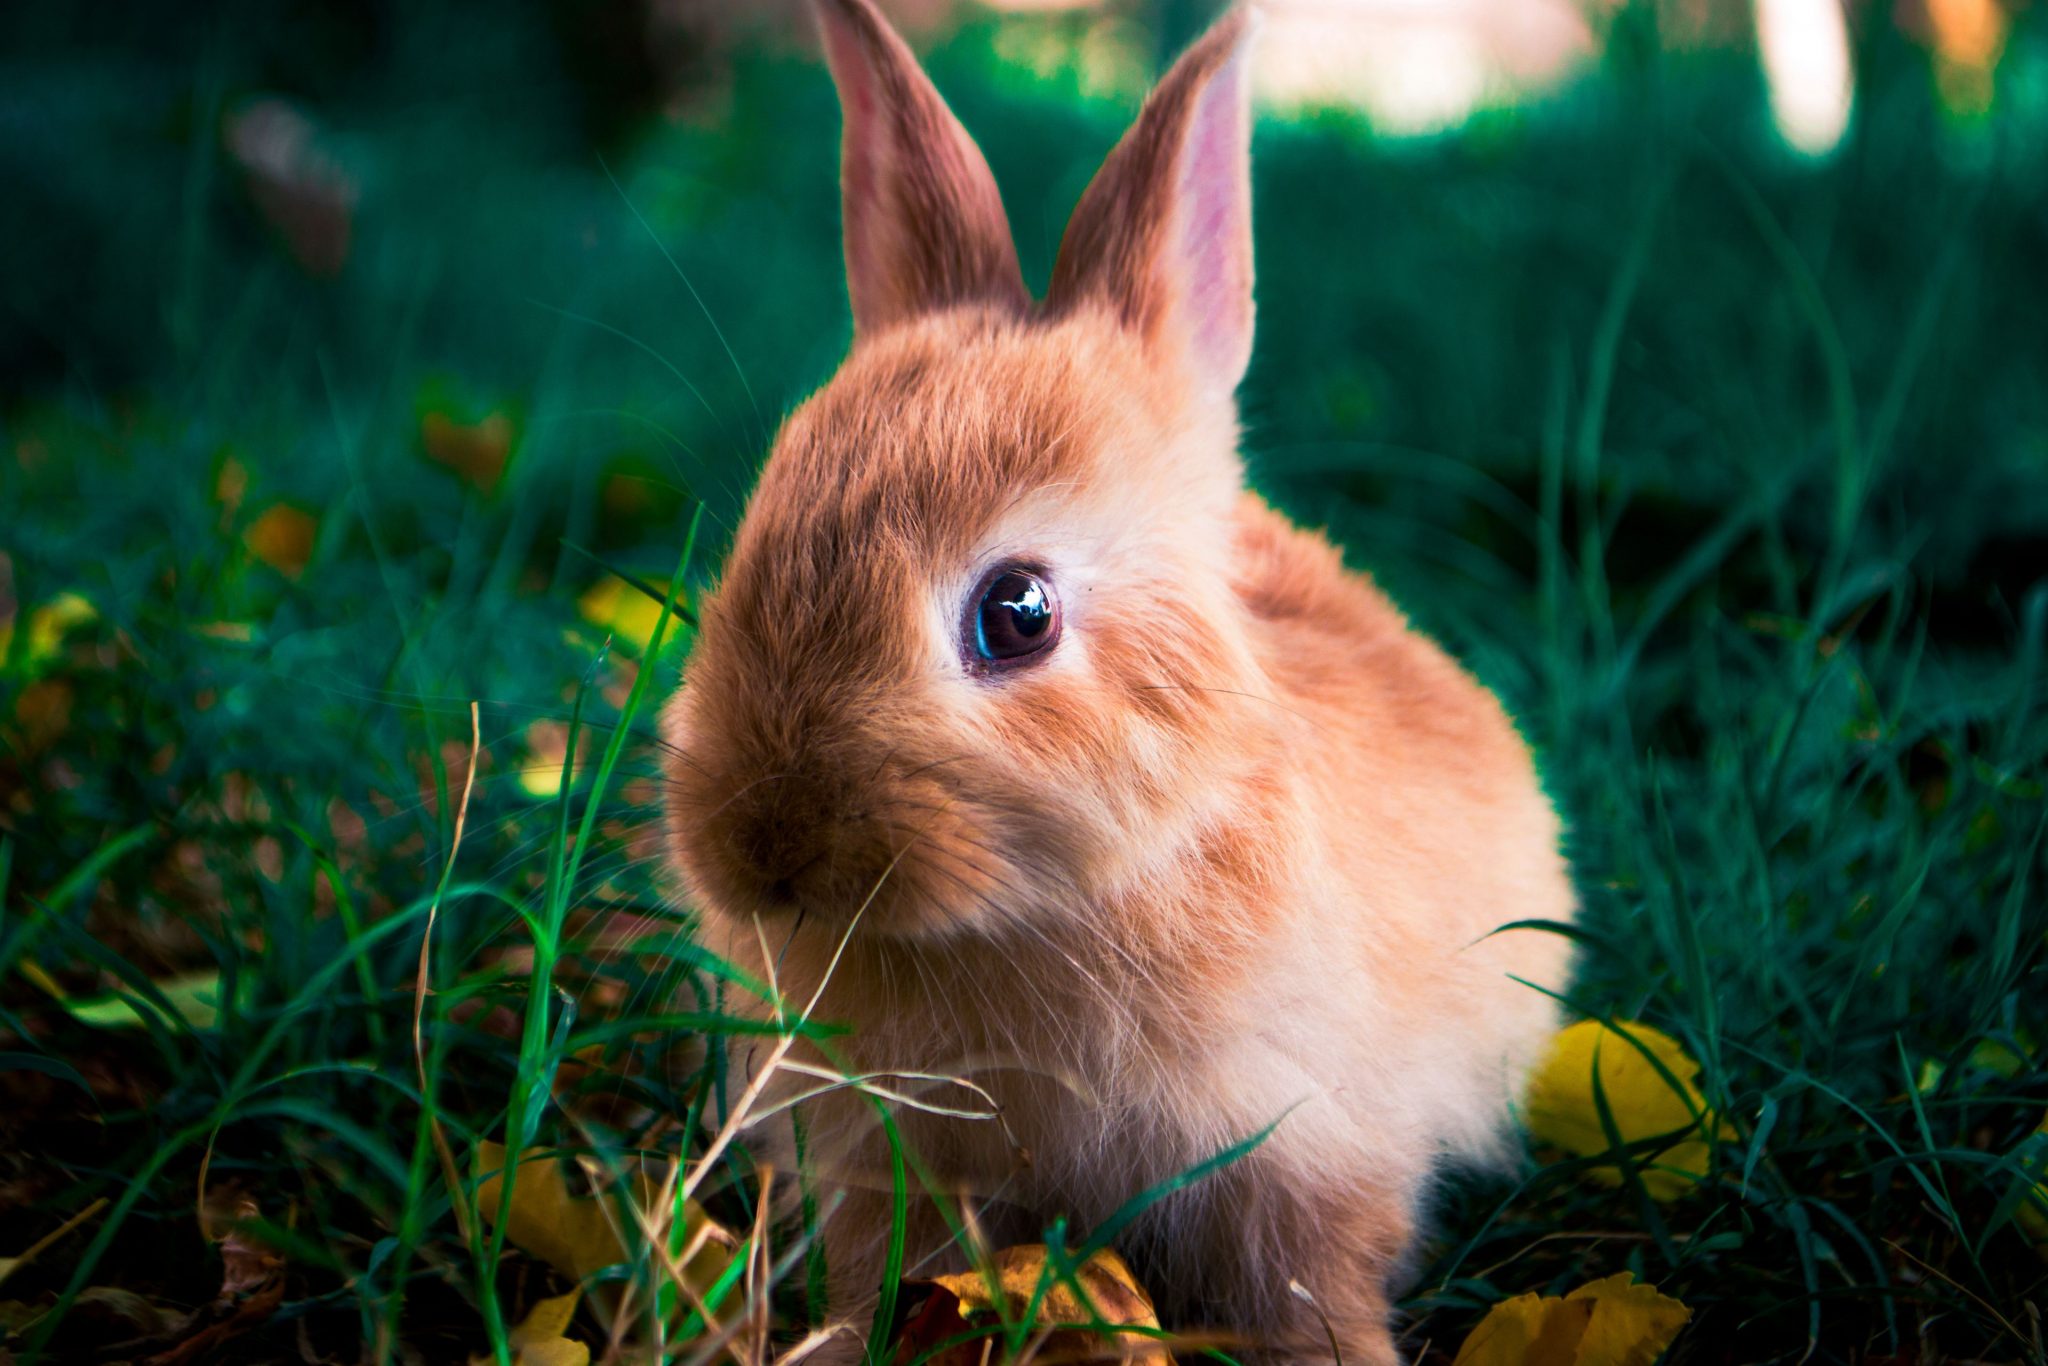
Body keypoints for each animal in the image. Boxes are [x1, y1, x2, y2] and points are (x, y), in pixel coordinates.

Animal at [658, 1, 1577, 1361]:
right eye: (746, 550)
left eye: (1017, 613)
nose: (765, 851)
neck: (1045, 908)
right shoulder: (881, 1159)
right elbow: (890, 1265)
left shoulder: (1303, 1158)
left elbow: (1315, 1285)